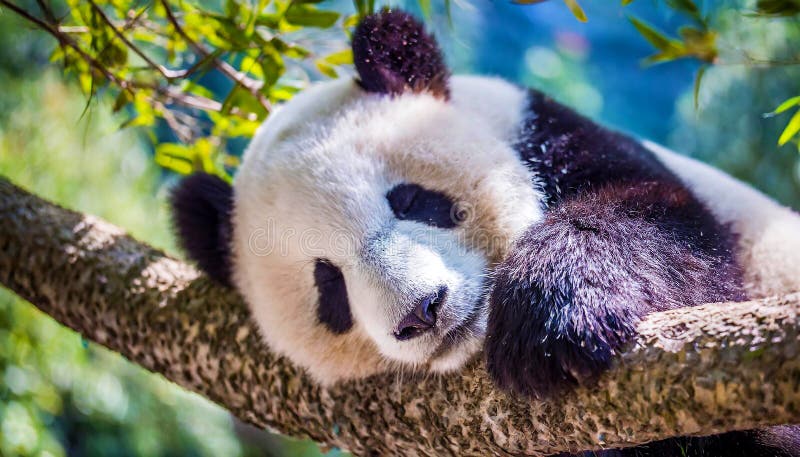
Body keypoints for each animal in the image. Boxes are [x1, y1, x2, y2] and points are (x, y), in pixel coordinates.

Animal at [170, 10, 800, 457]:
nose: (423, 310)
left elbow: (664, 225)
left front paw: (550, 317)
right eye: (330, 287)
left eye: (412, 201)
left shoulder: (550, 134)